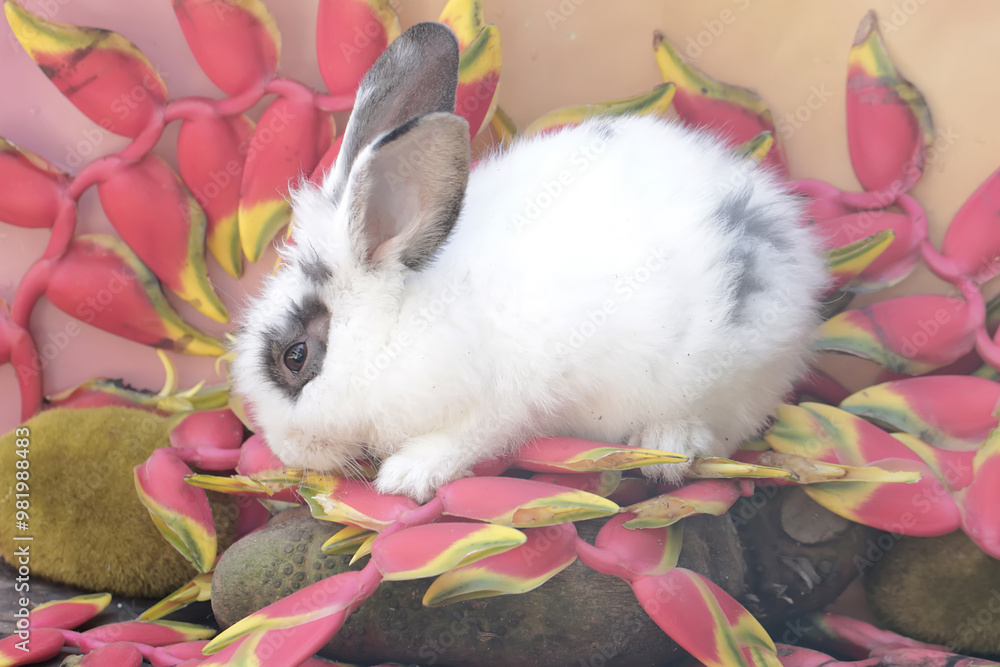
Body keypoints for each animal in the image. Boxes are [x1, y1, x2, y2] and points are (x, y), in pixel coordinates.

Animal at [230, 21, 829, 503]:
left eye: (296, 357)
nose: (284, 449)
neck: (400, 327)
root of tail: (798, 252)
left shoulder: (499, 402)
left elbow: (465, 439)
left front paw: (406, 476)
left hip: (722, 375)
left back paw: (667, 446)